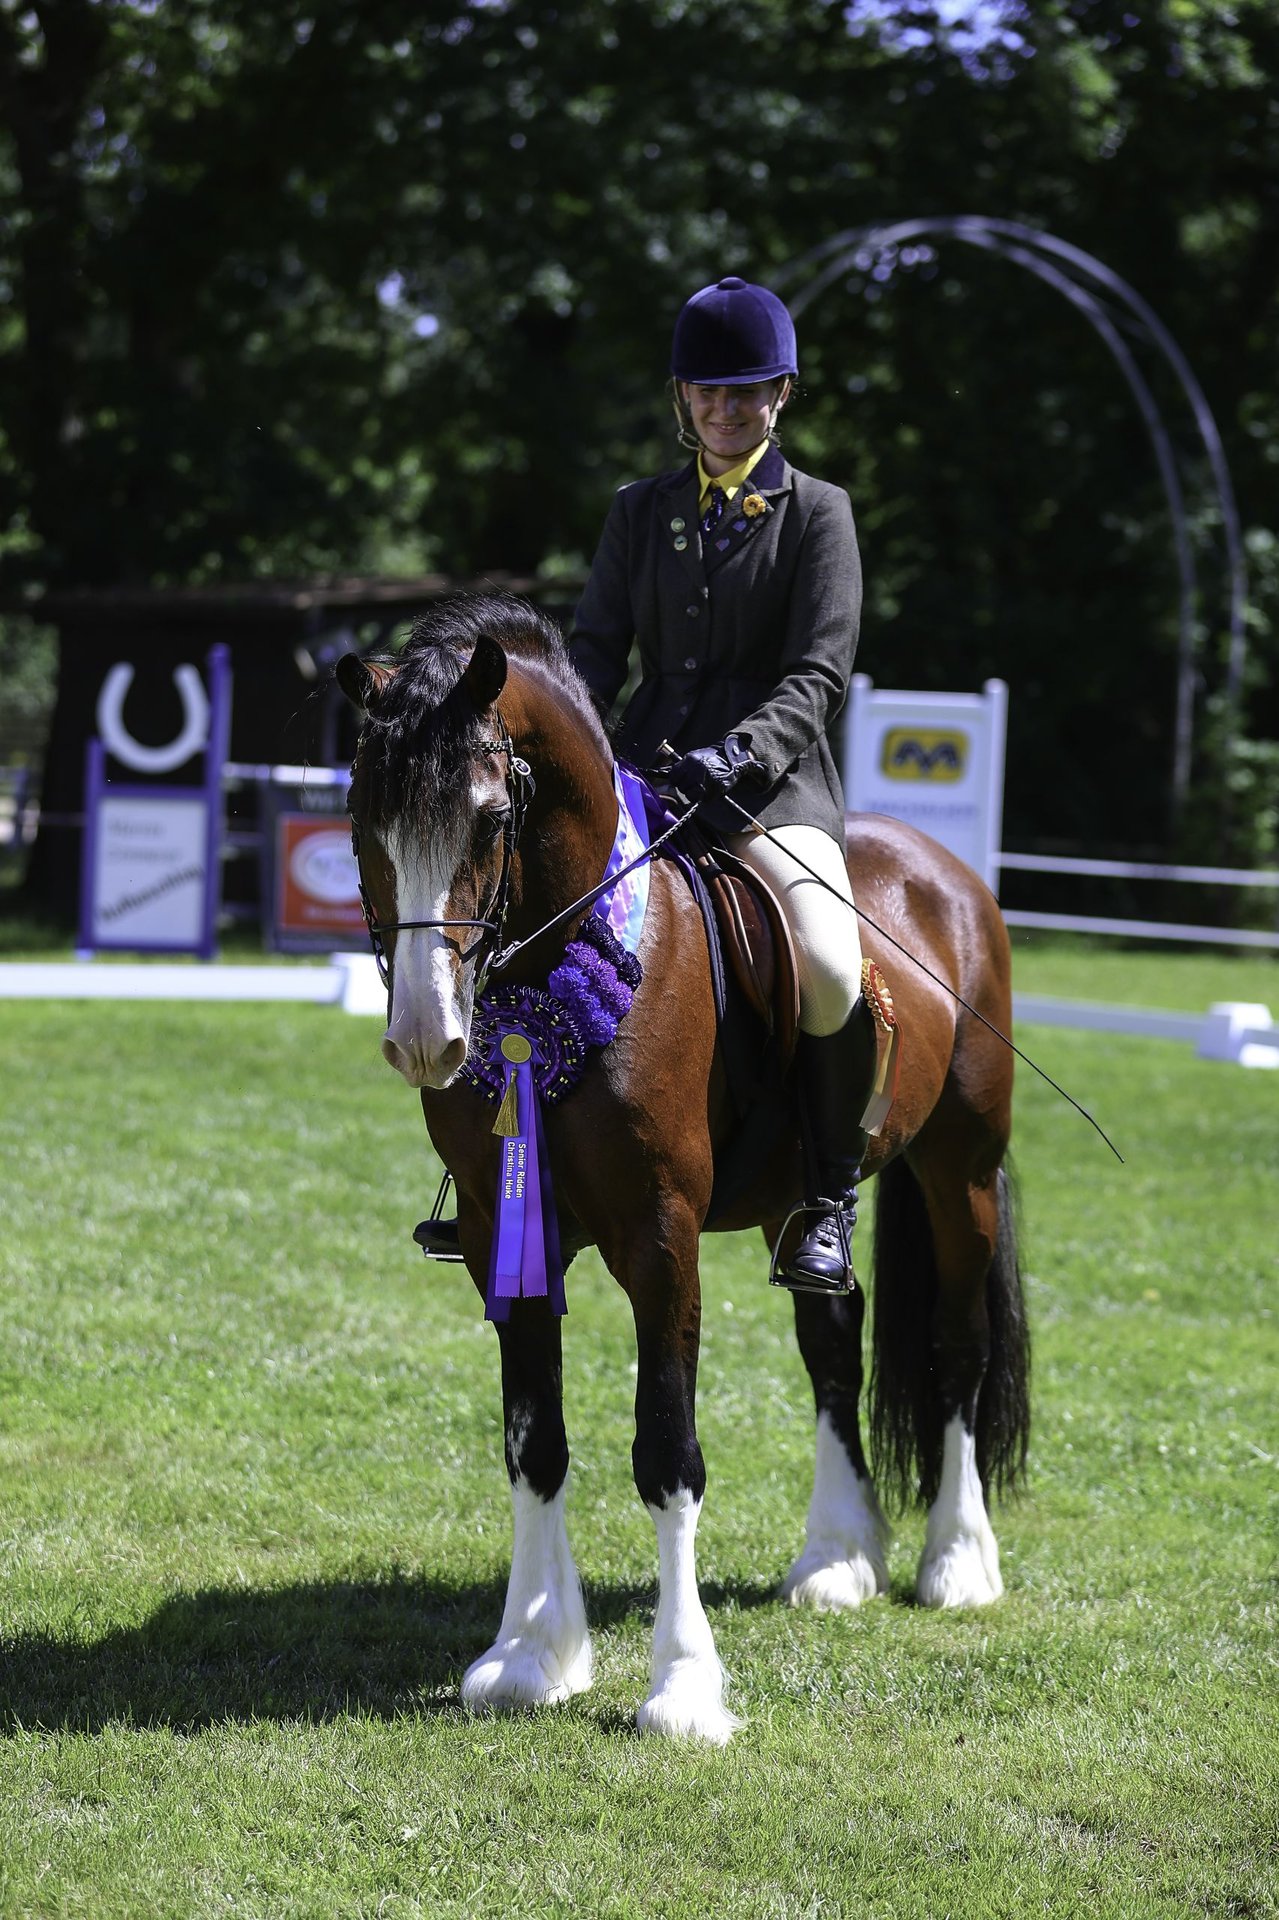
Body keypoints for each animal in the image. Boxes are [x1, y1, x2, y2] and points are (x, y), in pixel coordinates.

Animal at [337, 593, 1029, 1746]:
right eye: (359, 818)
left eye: (490, 816)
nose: (426, 1039)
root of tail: (943, 870)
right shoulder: (501, 1235)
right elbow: (534, 1443)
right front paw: (530, 1654)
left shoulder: (659, 1240)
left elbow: (667, 1456)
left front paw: (682, 1687)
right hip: (803, 1200)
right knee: (831, 1339)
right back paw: (836, 1558)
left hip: (958, 1172)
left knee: (957, 1348)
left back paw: (956, 1564)